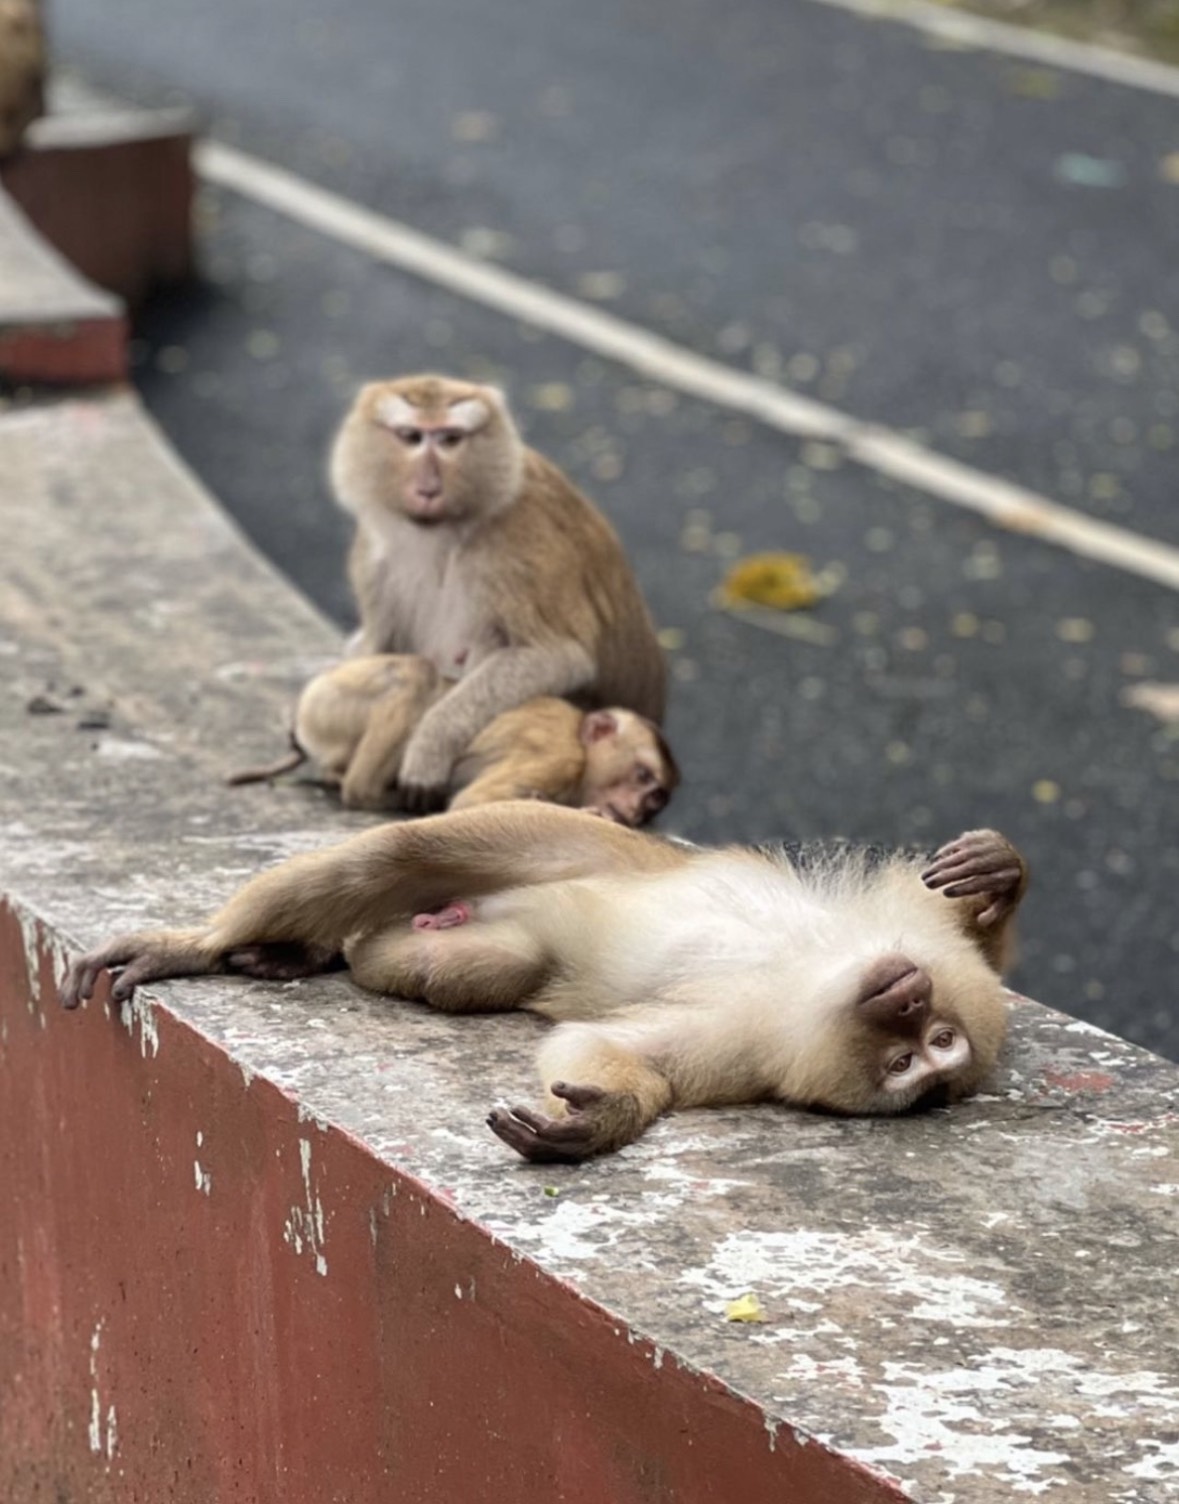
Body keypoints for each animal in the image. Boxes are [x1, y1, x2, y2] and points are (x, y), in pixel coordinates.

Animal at [59, 806, 1028, 1167]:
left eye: (924, 1056)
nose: (909, 998)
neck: (812, 974)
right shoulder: (913, 935)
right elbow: (968, 927)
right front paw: (998, 876)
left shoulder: (744, 1042)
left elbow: (604, 1050)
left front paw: (595, 1122)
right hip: (572, 840)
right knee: (398, 852)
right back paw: (205, 945)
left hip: (493, 931)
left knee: (470, 963)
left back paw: (338, 951)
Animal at [230, 655, 676, 830]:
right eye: (641, 776)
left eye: (656, 798)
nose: (638, 809)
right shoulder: (558, 757)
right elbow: (472, 803)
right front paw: (587, 814)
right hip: (332, 702)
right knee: (417, 674)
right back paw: (369, 791)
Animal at [326, 374, 667, 812]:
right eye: (412, 437)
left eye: (450, 439)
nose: (429, 487)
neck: (447, 529)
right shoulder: (373, 555)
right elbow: (377, 645)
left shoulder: (517, 549)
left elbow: (556, 657)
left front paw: (430, 746)